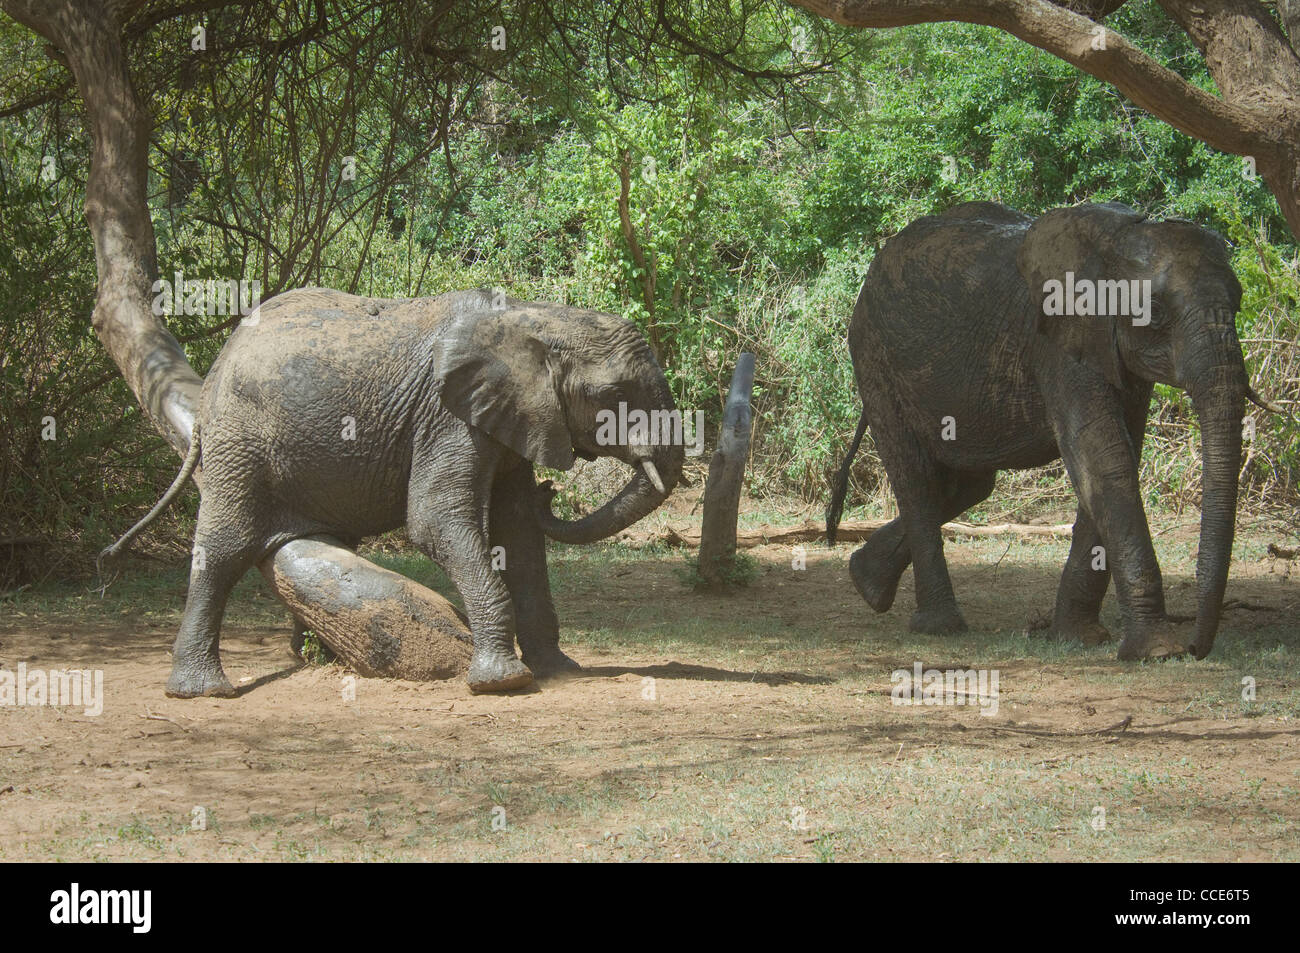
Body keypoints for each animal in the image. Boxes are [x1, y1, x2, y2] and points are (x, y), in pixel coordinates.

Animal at [102, 287, 684, 696]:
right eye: (612, 394)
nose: (553, 492)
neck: (534, 317)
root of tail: (216, 371)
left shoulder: (513, 415)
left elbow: (518, 533)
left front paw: (560, 671)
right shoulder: (446, 417)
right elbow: (435, 521)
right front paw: (505, 682)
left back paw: (306, 653)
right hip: (239, 438)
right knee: (225, 546)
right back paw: (203, 691)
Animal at [826, 201, 1278, 661]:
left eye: (1239, 302)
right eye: (1154, 311)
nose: (1196, 648)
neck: (1120, 240)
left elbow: (1115, 457)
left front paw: (1078, 638)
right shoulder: (1059, 345)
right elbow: (1104, 458)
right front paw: (1157, 651)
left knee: (965, 485)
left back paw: (866, 581)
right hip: (874, 358)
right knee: (917, 479)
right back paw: (938, 626)